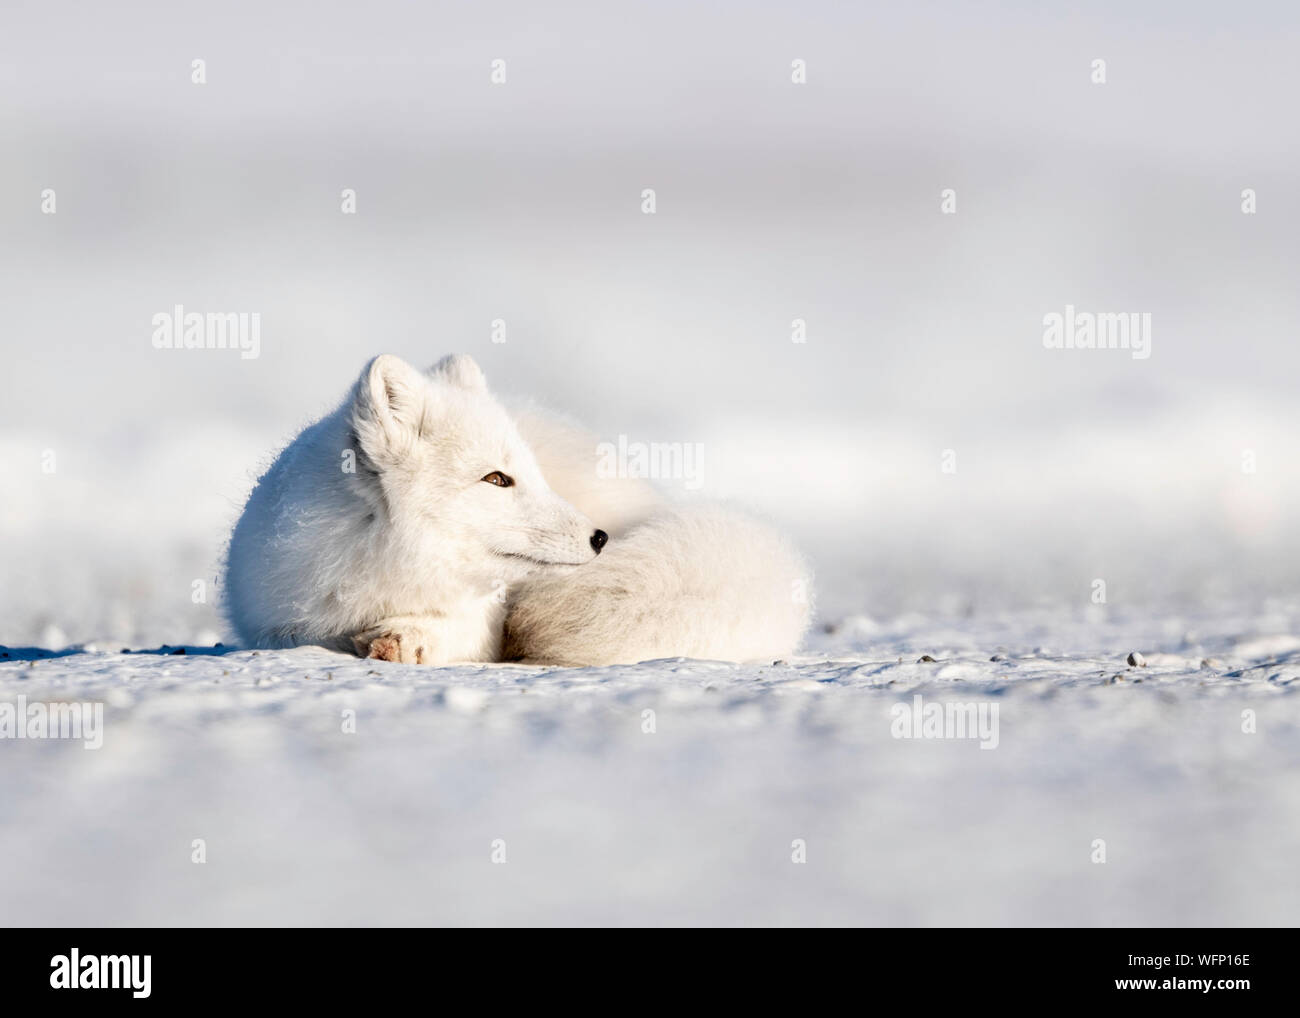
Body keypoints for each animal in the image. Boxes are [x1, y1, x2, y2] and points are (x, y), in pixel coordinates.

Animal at [223, 353, 812, 666]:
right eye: (497, 479)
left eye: (530, 474)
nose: (599, 538)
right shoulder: (273, 619)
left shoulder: (486, 620)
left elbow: (457, 633)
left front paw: (407, 637)